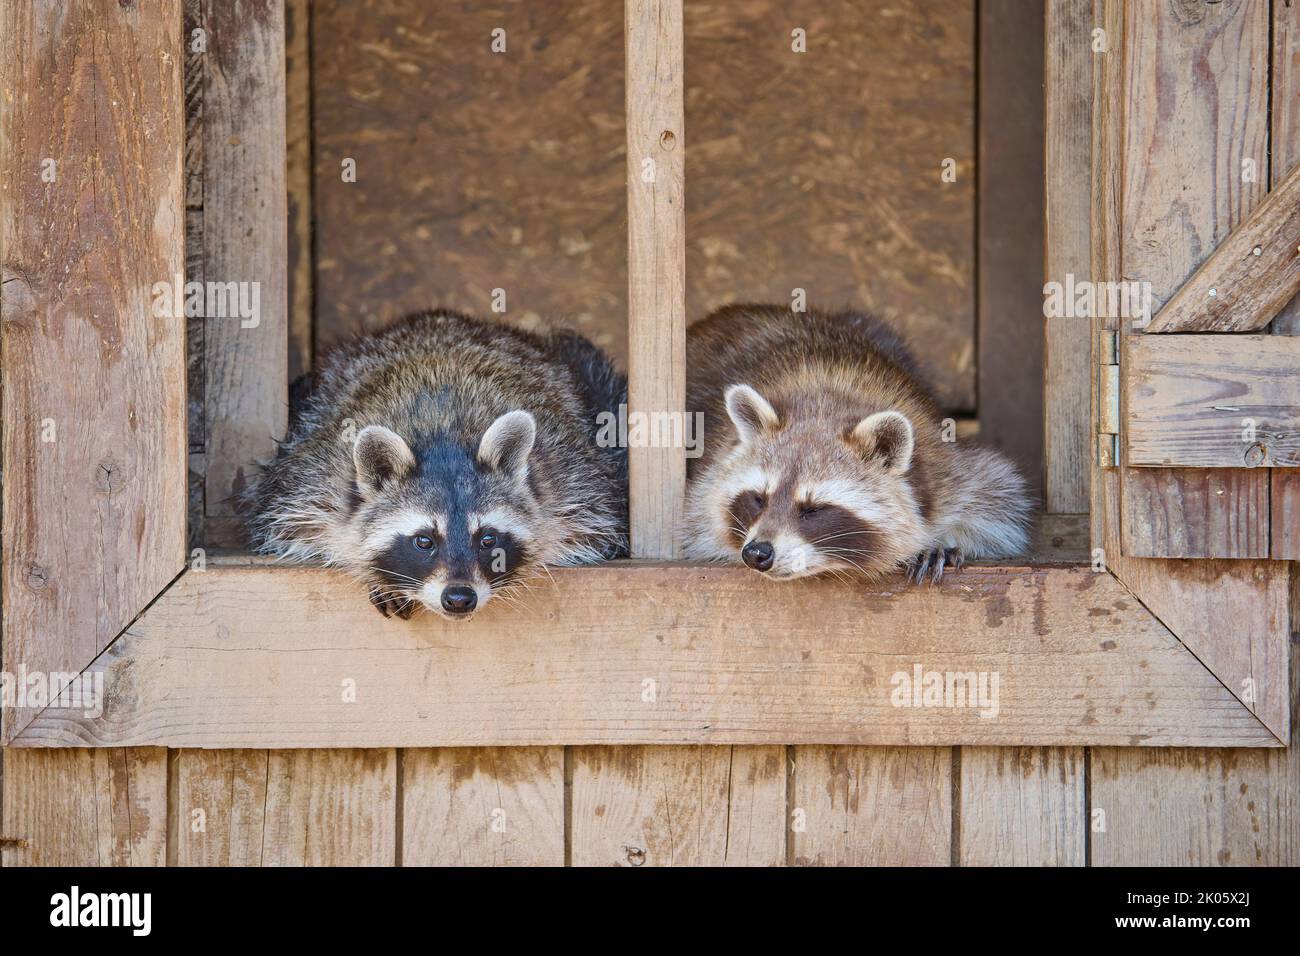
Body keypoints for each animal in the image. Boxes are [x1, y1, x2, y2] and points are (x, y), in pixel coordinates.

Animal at [246, 309, 628, 619]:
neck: (445, 433)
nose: (459, 598)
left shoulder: (573, 477)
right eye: (424, 541)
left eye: (488, 539)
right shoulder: (312, 476)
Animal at [683, 304, 1031, 583]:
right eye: (758, 498)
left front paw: (941, 542)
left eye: (813, 509)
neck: (824, 401)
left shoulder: (946, 464)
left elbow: (998, 501)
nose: (757, 553)